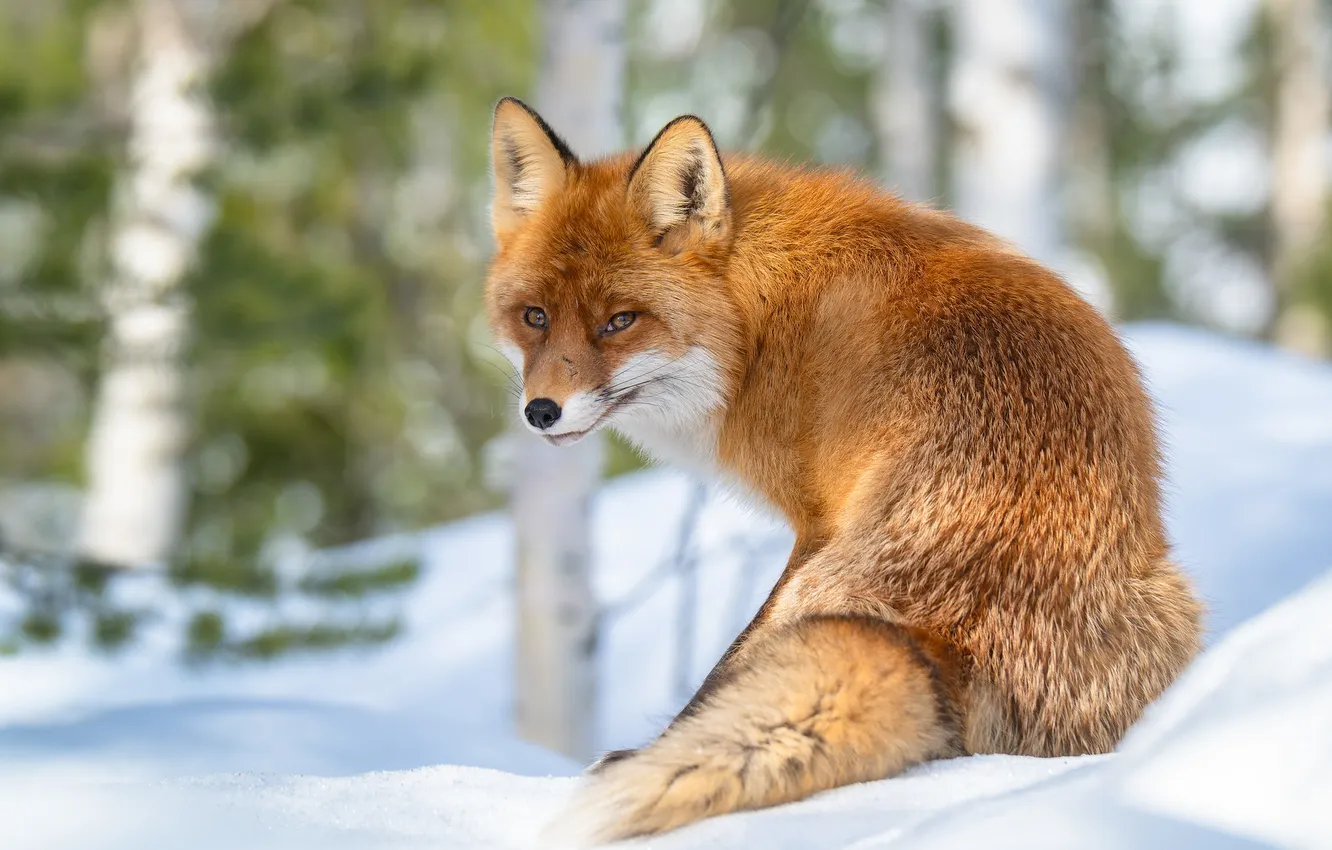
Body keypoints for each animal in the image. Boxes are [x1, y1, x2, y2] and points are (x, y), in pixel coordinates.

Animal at [484, 96, 1203, 843]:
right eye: (534, 317)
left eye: (620, 322)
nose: (542, 411)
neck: (755, 319)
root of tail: (949, 626)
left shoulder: (814, 521)